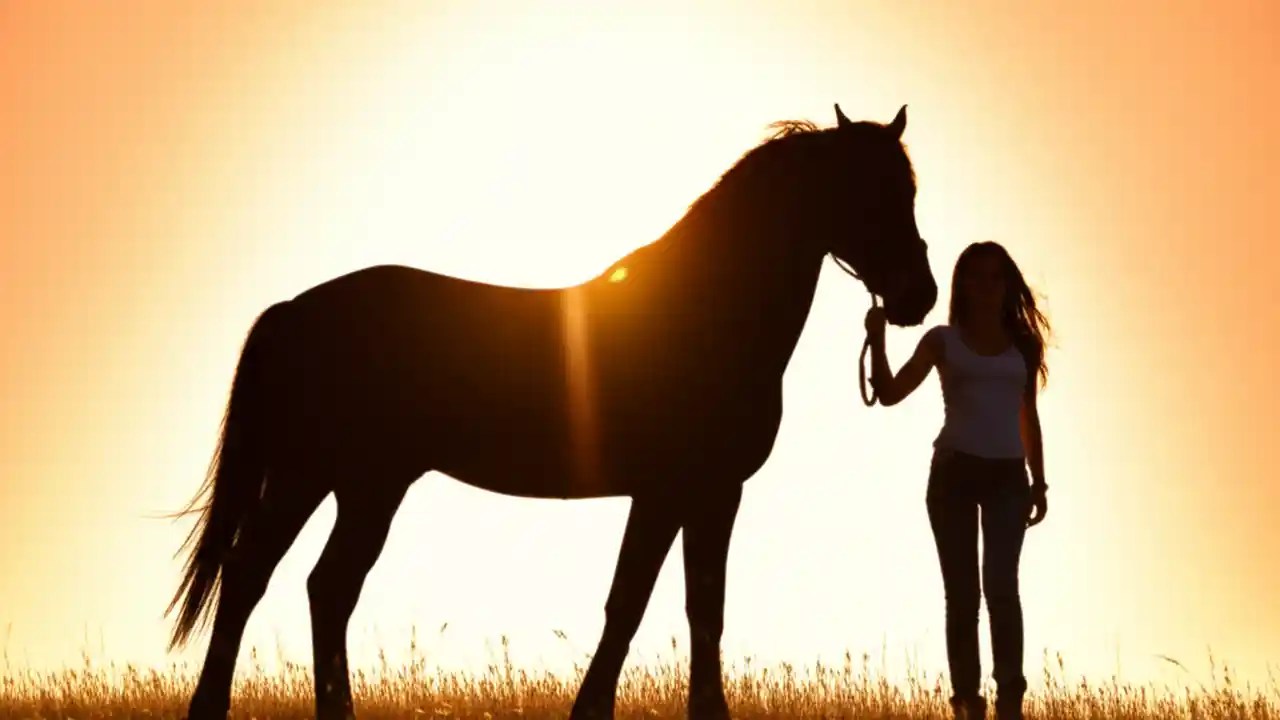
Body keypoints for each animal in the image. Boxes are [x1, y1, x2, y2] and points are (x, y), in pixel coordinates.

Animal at [166, 103, 937, 720]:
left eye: (908, 190)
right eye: (868, 192)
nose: (918, 296)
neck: (702, 315)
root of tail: (296, 309)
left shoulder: (708, 495)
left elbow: (699, 608)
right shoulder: (672, 492)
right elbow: (634, 604)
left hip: (363, 484)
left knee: (320, 585)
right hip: (316, 475)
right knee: (257, 576)